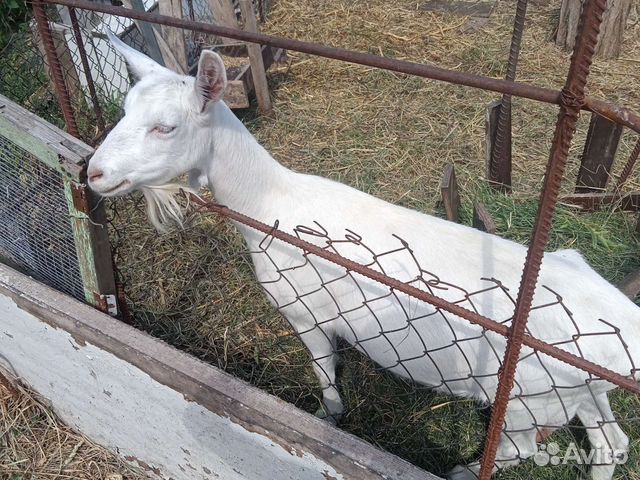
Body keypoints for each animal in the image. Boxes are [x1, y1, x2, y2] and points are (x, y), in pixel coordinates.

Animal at [88, 31, 639, 480]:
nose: (93, 172)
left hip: (531, 401)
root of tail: (626, 334)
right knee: (612, 442)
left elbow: (323, 373)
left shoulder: (305, 312)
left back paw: (461, 469)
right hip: (577, 393)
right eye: (125, 110)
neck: (268, 204)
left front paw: (328, 416)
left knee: (520, 450)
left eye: (165, 127)